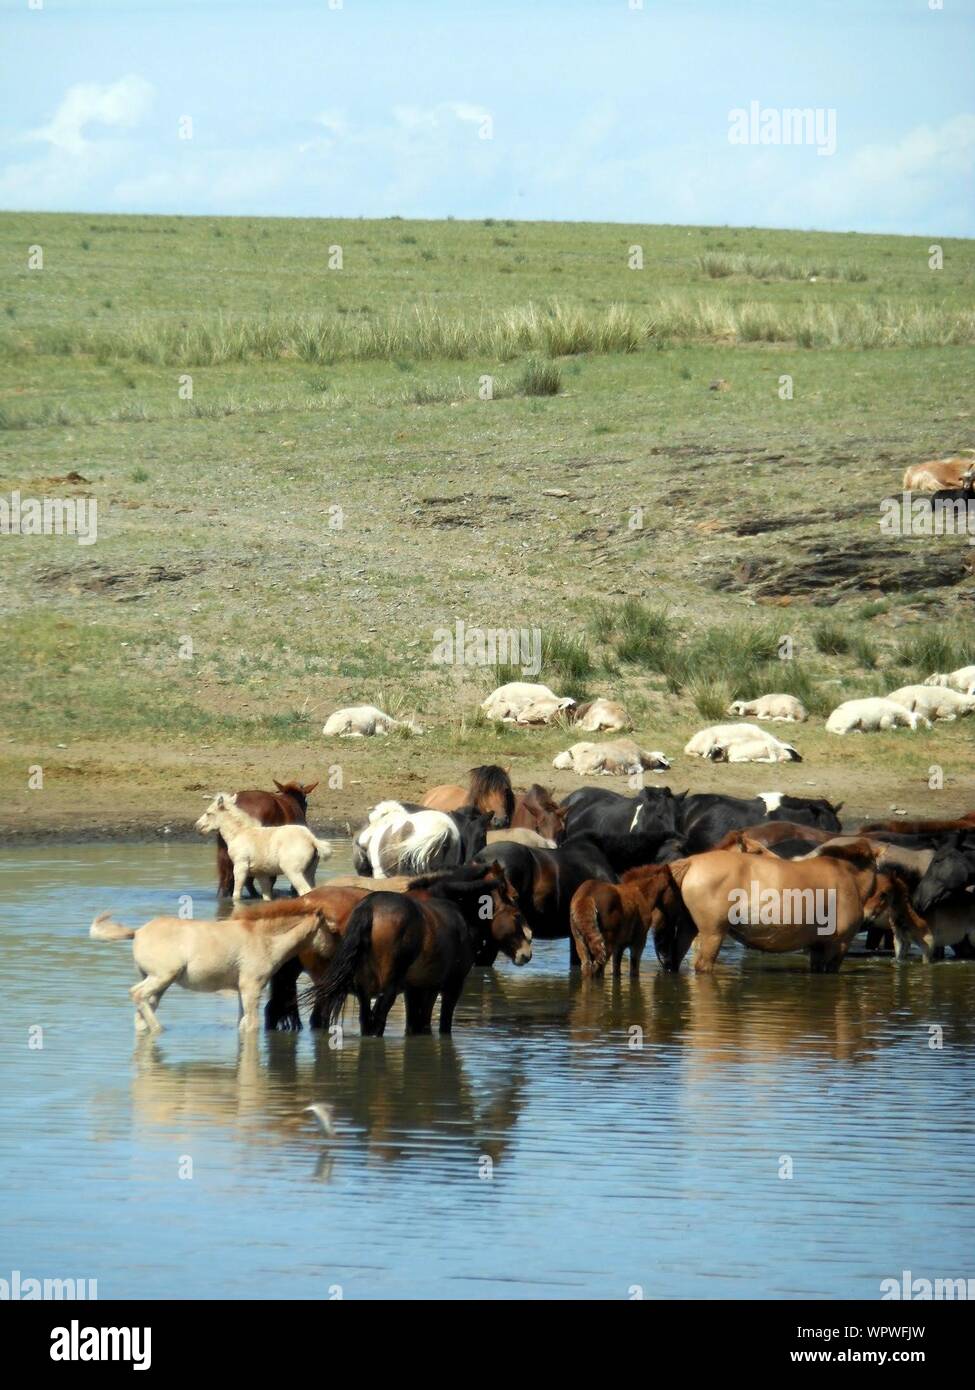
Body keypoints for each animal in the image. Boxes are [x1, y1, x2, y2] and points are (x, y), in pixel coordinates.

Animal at [89, 900, 329, 1033]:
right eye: (329, 926)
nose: (330, 952)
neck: (262, 936)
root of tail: (138, 932)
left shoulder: (242, 990)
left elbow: (242, 1024)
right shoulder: (251, 986)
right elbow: (252, 1024)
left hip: (159, 983)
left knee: (142, 1012)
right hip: (162, 977)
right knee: (137, 994)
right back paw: (160, 1029)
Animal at [196, 794, 331, 898]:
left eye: (208, 813)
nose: (197, 826)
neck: (240, 833)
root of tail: (311, 839)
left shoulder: (241, 866)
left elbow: (236, 894)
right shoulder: (262, 873)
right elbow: (266, 896)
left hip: (294, 872)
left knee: (305, 891)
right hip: (309, 872)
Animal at [304, 863, 533, 1036]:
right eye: (515, 907)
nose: (527, 952)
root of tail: (369, 909)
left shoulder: (417, 988)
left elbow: (416, 1026)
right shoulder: (449, 985)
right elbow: (439, 1026)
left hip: (363, 991)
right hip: (386, 989)